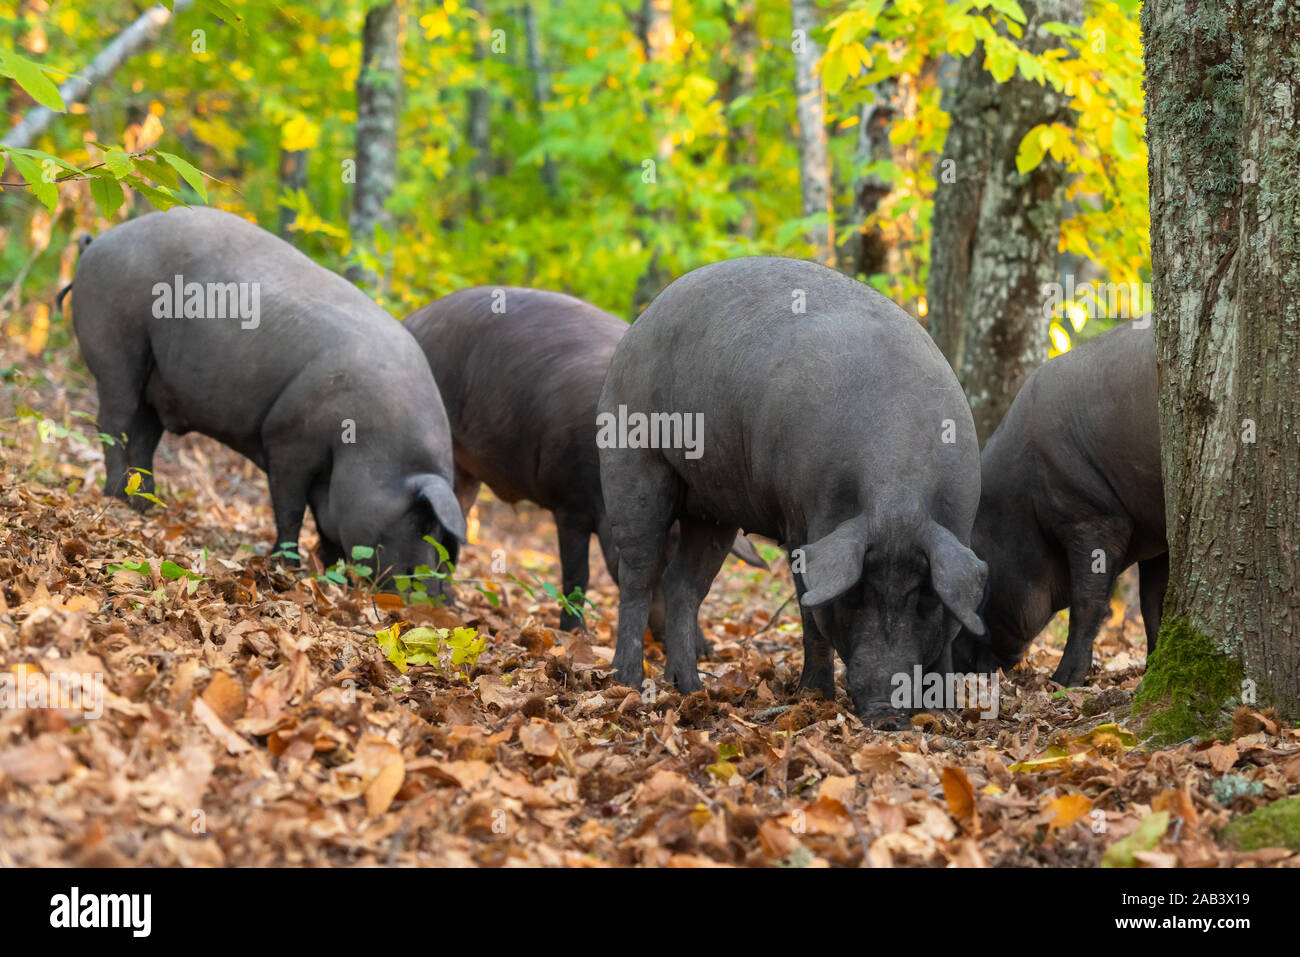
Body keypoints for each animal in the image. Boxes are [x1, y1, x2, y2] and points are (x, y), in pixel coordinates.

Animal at [68, 206, 465, 585]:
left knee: (144, 437)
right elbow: (291, 509)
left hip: (155, 382)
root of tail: (97, 242)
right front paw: (287, 566)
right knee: (113, 422)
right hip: (116, 348)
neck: (370, 442)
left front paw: (329, 574)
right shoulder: (288, 438)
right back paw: (116, 496)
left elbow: (326, 523)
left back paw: (145, 505)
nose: (433, 598)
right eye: (422, 523)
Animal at [403, 286, 766, 641]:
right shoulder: (569, 503)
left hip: (467, 473)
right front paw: (577, 636)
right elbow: (578, 573)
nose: (665, 639)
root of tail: (411, 320)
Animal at [597, 257, 988, 724]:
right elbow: (811, 618)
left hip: (712, 508)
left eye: (926, 597)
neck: (897, 495)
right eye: (855, 593)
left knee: (682, 584)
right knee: (637, 574)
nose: (886, 717)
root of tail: (640, 322)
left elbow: (950, 629)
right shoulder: (802, 525)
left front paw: (945, 713)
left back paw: (691, 690)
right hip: (632, 460)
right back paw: (627, 683)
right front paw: (813, 699)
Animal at [951, 320, 1166, 686]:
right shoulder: (1157, 540)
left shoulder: (1092, 517)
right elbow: (1154, 604)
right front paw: (1151, 673)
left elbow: (1087, 601)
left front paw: (1063, 681)